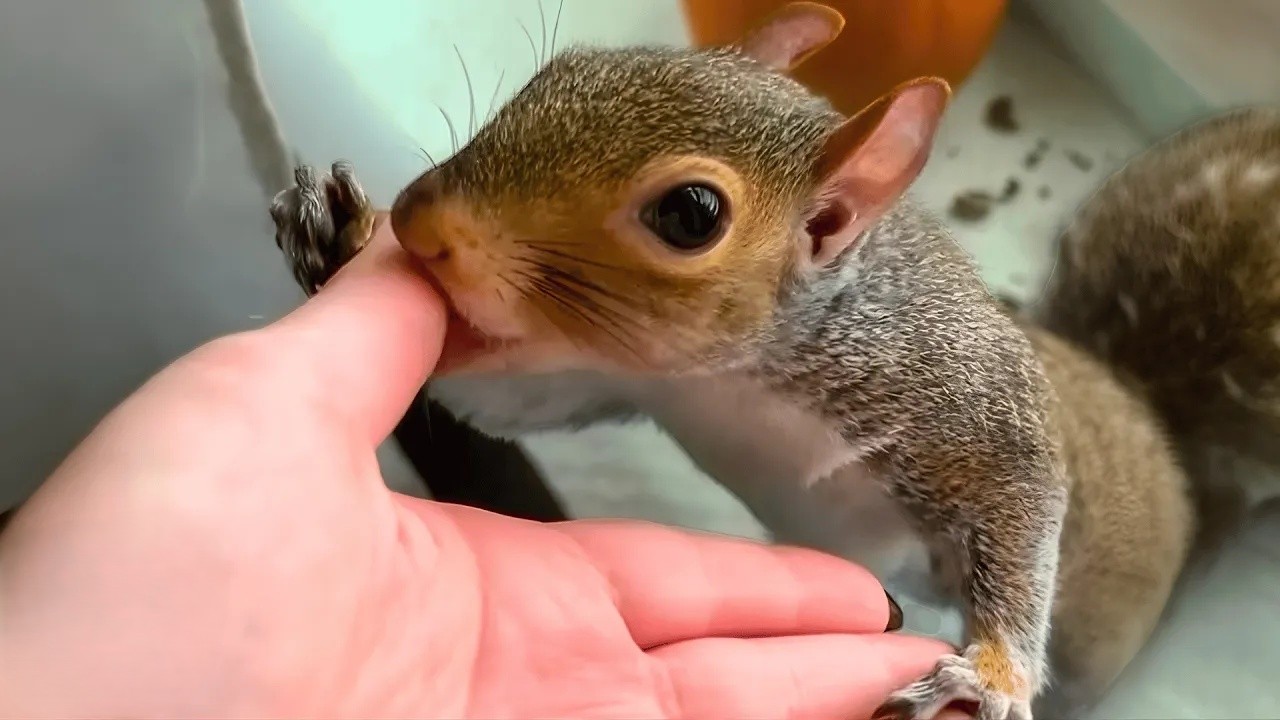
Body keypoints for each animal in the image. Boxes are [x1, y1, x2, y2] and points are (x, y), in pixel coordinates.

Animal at [265, 3, 1280, 718]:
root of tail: (1160, 434)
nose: (422, 221)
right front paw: (336, 236)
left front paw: (989, 675)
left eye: (690, 214)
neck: (735, 374)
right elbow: (508, 411)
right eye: (567, 67)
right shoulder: (611, 381)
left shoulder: (961, 398)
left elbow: (1022, 503)